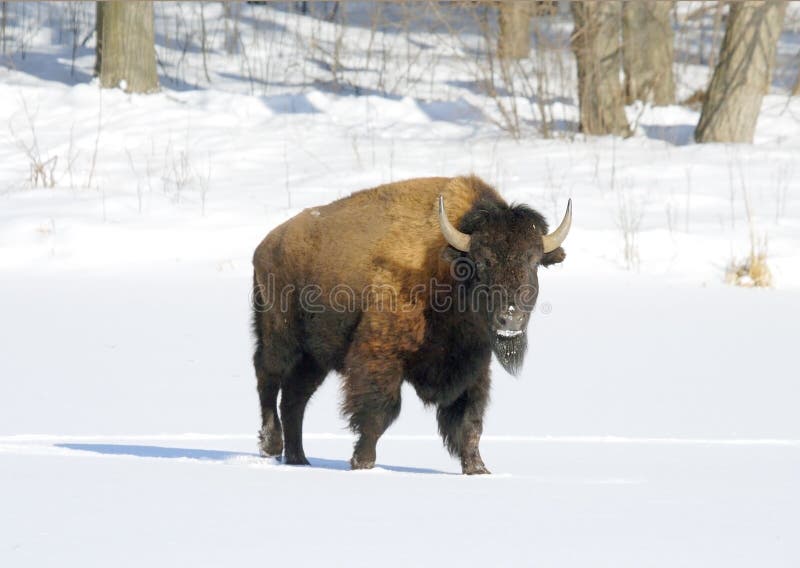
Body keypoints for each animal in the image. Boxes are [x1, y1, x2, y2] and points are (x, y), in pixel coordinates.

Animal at [251, 175, 571, 474]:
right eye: (481, 261)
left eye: (533, 261)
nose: (510, 318)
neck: (445, 269)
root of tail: (265, 245)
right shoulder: (381, 356)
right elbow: (379, 413)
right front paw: (362, 463)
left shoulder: (473, 367)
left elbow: (470, 423)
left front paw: (478, 469)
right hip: (280, 337)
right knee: (268, 378)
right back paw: (272, 444)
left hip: (315, 359)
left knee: (294, 398)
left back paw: (298, 459)